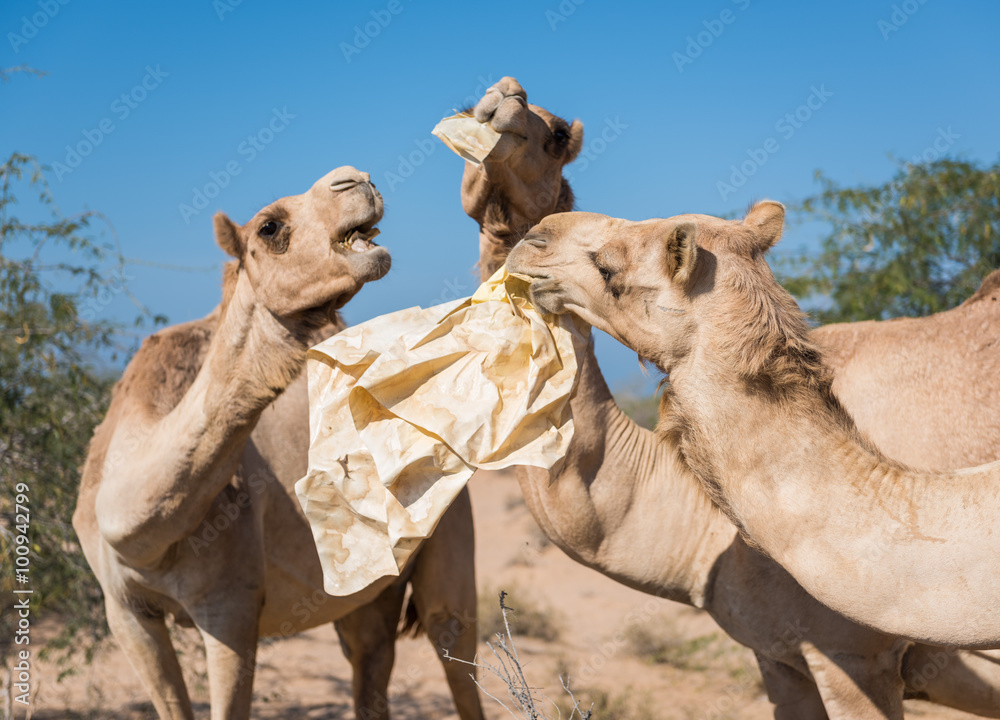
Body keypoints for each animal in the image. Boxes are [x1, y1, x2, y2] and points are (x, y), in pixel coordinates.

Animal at [72, 167, 484, 720]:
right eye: (269, 227)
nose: (357, 180)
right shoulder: (124, 611)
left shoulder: (230, 607)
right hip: (370, 592)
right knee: (371, 652)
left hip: (452, 523)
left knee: (454, 643)